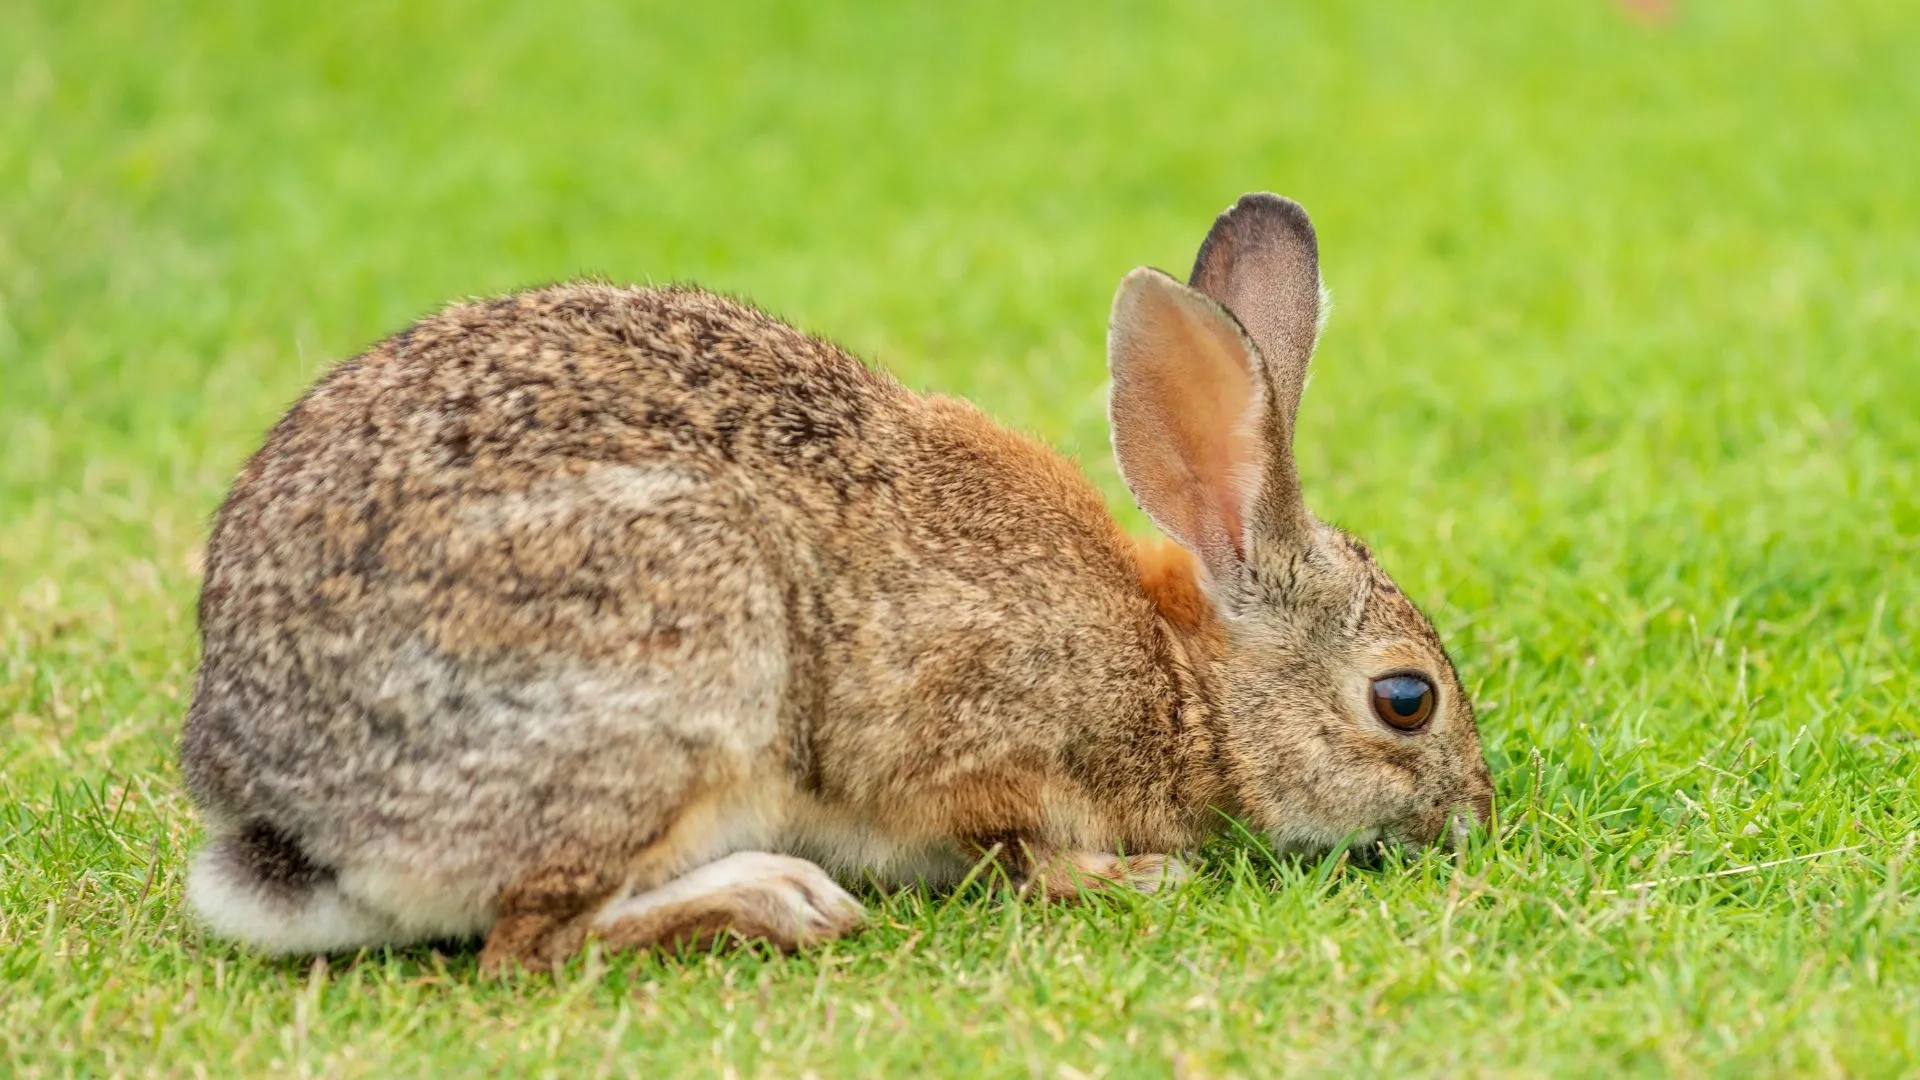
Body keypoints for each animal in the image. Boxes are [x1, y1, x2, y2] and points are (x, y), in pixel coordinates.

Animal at [181, 193, 1494, 972]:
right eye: (1405, 700)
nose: (1474, 819)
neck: (1187, 678)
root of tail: (286, 811)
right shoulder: (971, 729)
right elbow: (1011, 842)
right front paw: (1130, 874)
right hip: (680, 669)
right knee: (533, 938)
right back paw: (776, 899)